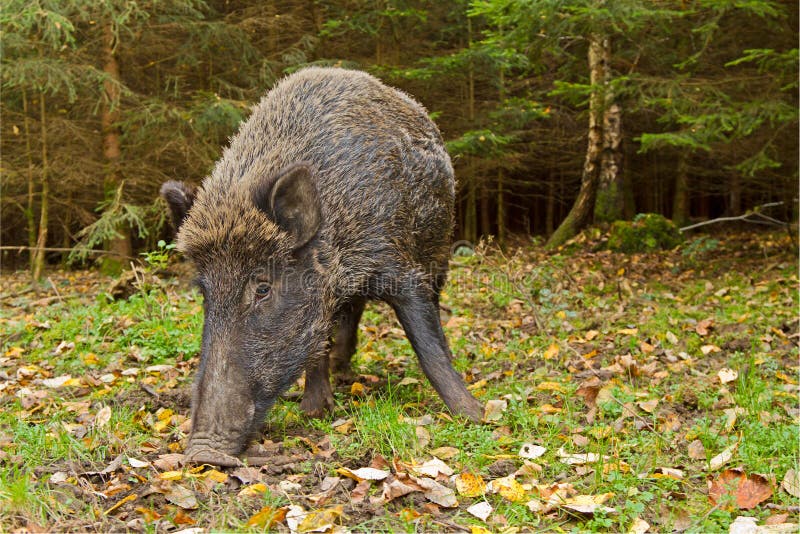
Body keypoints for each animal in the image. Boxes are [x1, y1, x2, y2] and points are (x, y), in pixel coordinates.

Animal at [161, 67, 483, 465]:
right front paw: (314, 411)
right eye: (205, 292)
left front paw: (476, 415)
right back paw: (343, 373)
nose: (202, 453)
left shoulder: (399, 264)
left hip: (439, 251)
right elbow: (317, 338)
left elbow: (427, 344)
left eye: (263, 287)